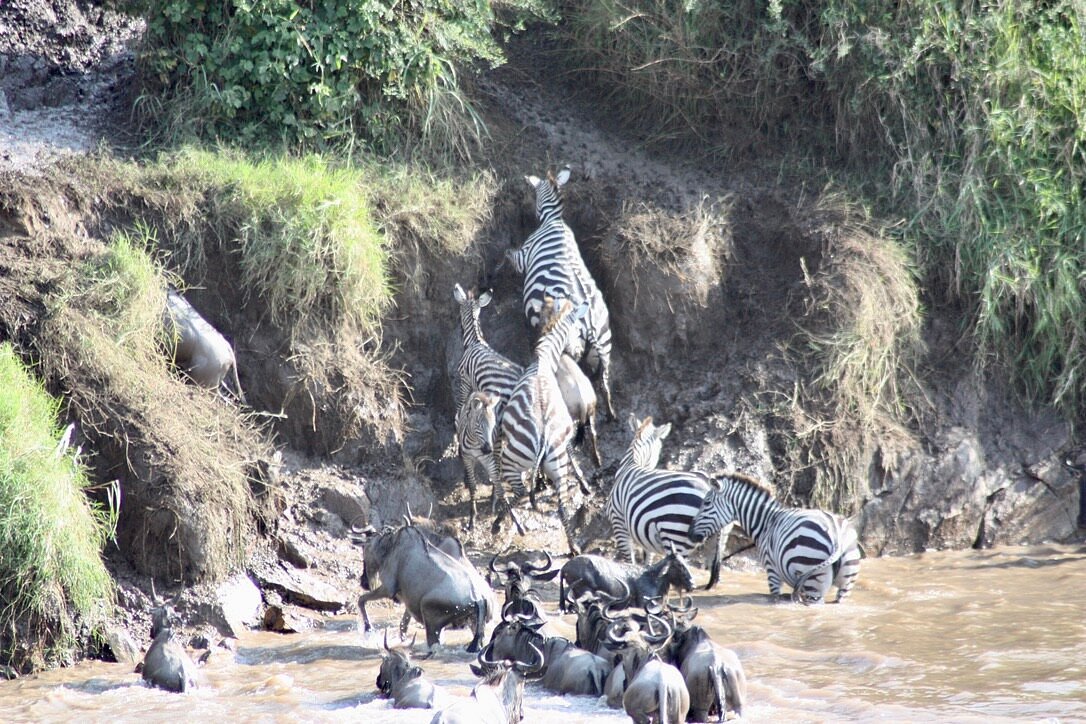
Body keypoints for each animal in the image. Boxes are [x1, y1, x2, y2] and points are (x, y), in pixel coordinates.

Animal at [498, 294, 591, 555]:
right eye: (577, 330)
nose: (578, 352)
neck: (543, 359)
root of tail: (542, 438)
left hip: (511, 458)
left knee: (519, 490)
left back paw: (498, 521)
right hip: (558, 465)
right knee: (561, 505)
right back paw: (573, 546)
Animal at [505, 167, 616, 419]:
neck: (554, 220)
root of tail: (591, 324)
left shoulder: (523, 255)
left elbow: (510, 255)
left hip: (573, 343)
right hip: (605, 344)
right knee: (604, 382)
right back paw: (611, 414)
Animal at [607, 414, 722, 589]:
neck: (633, 463)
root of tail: (707, 487)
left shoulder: (619, 523)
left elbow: (629, 560)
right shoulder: (643, 531)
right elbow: (647, 559)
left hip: (675, 533)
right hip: (715, 539)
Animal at [688, 473, 862, 605]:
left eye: (706, 503)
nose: (690, 533)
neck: (766, 522)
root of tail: (836, 535)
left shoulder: (772, 571)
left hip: (813, 582)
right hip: (846, 583)